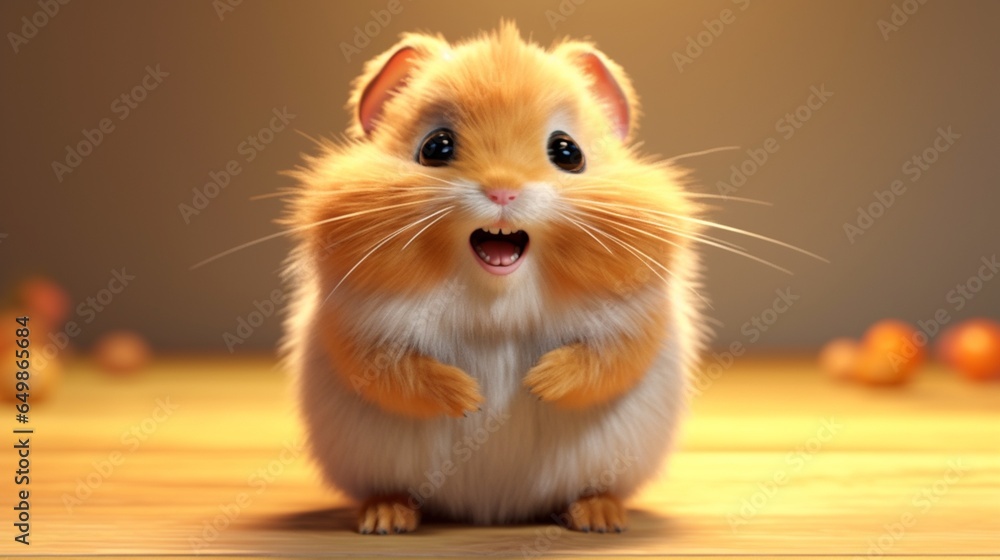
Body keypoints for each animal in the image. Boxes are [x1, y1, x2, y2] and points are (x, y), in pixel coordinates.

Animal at [282, 22, 708, 535]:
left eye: (568, 152)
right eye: (435, 147)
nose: (503, 190)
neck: (497, 296)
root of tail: (492, 513)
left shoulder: (638, 318)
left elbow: (605, 359)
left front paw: (535, 384)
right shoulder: (354, 324)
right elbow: (399, 370)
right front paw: (472, 398)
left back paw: (600, 517)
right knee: (393, 490)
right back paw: (385, 518)